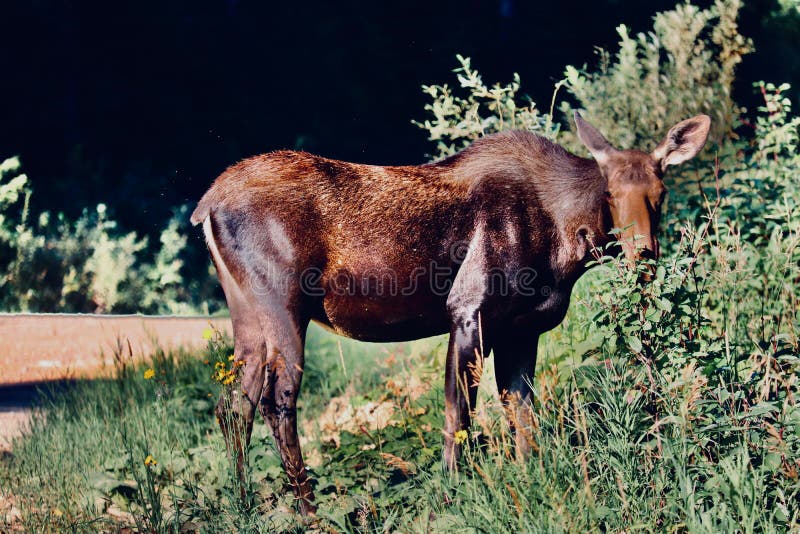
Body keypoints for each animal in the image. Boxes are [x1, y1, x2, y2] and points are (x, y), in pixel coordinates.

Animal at [191, 112, 710, 514]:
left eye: (661, 192)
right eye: (610, 193)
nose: (644, 254)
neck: (565, 247)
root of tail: (205, 206)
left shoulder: (522, 327)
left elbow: (520, 410)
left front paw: (529, 473)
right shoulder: (467, 310)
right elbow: (460, 411)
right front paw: (451, 491)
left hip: (247, 317)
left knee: (233, 404)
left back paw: (243, 501)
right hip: (284, 305)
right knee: (277, 400)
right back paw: (307, 508)